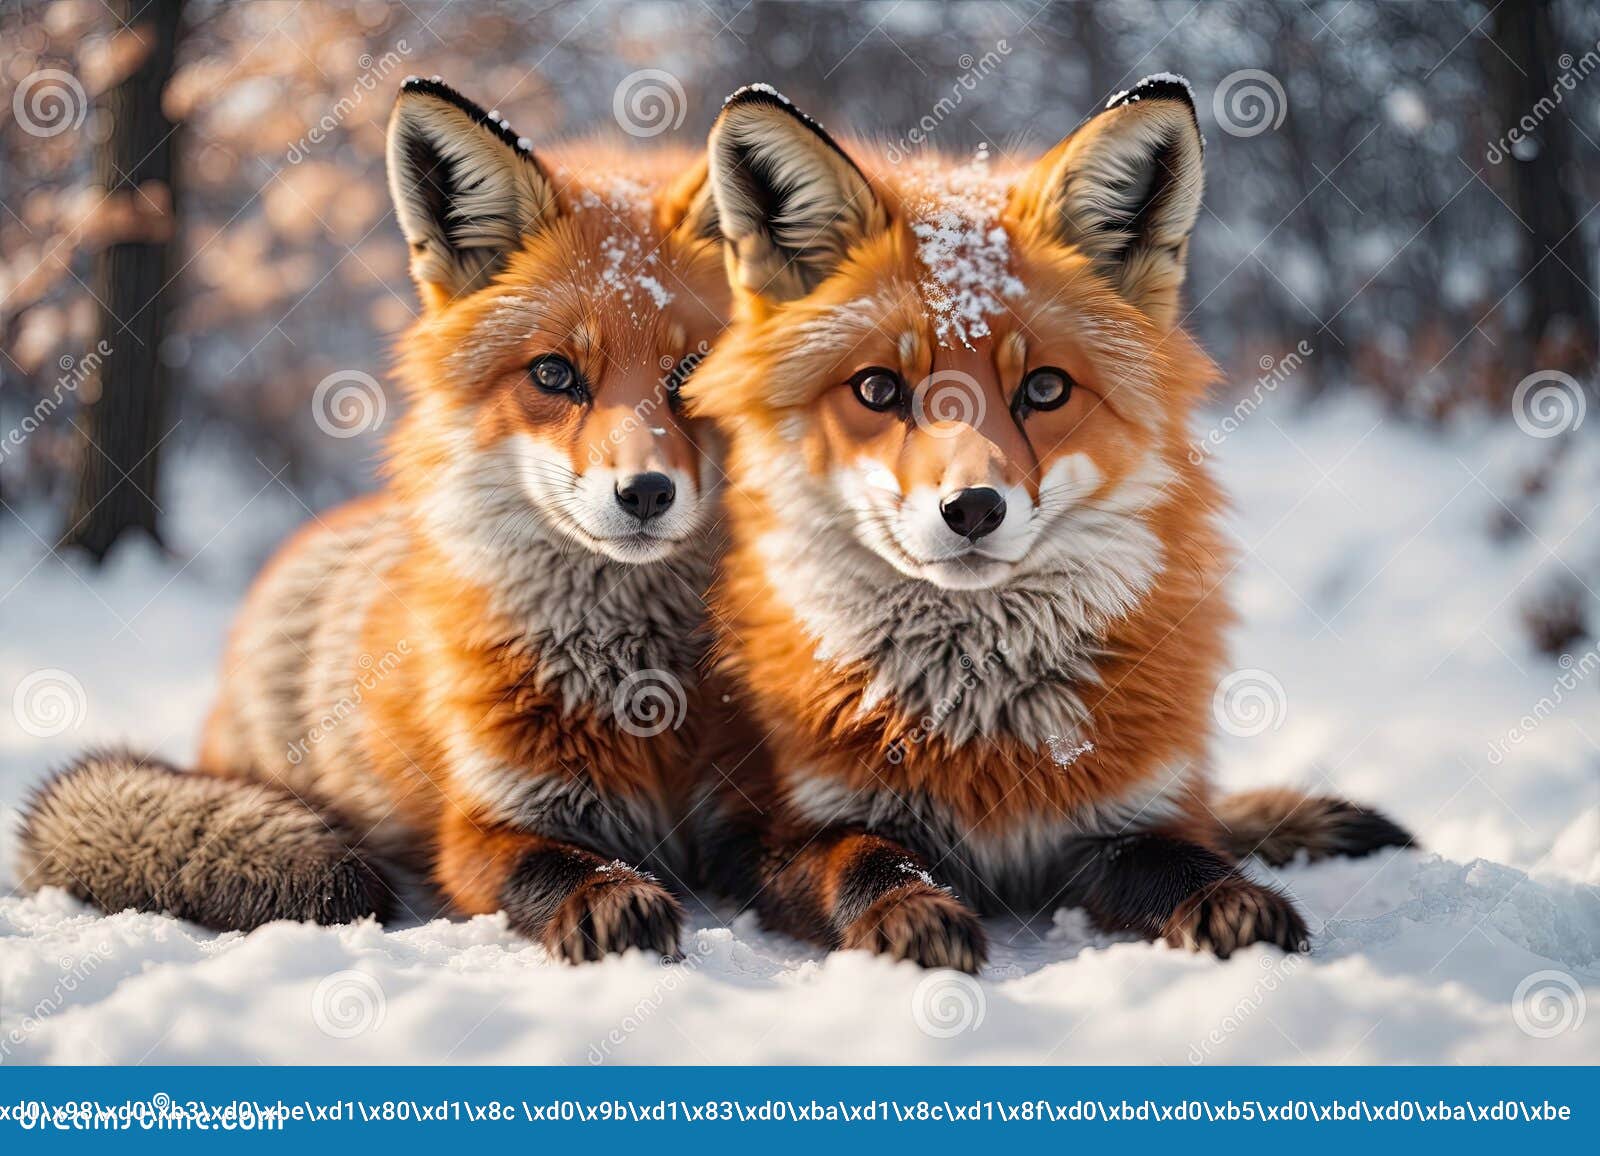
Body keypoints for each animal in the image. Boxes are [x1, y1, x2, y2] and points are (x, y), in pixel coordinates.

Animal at [16, 77, 745, 962]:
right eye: (553, 374)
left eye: (693, 372)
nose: (644, 492)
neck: (635, 675)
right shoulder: (489, 820)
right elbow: (559, 867)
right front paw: (613, 899)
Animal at [683, 79, 1413, 971]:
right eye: (879, 389)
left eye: (1045, 389)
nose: (972, 507)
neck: (981, 719)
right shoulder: (767, 830)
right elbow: (864, 857)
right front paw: (909, 913)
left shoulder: (1122, 817)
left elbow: (1183, 857)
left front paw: (1230, 902)